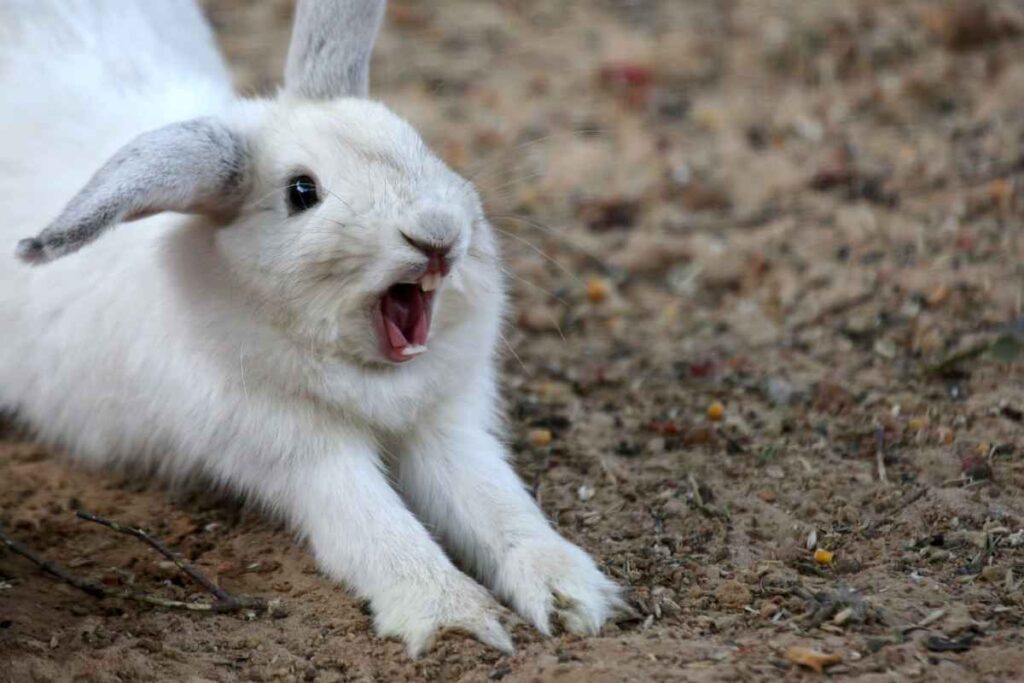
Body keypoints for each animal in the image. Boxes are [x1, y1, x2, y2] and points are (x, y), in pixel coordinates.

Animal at [0, 0, 622, 656]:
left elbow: (496, 503)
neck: (372, 375)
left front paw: (573, 597)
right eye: (302, 192)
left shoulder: (447, 428)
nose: (437, 235)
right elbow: (377, 528)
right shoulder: (303, 454)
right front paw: (455, 619)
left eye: (417, 142)